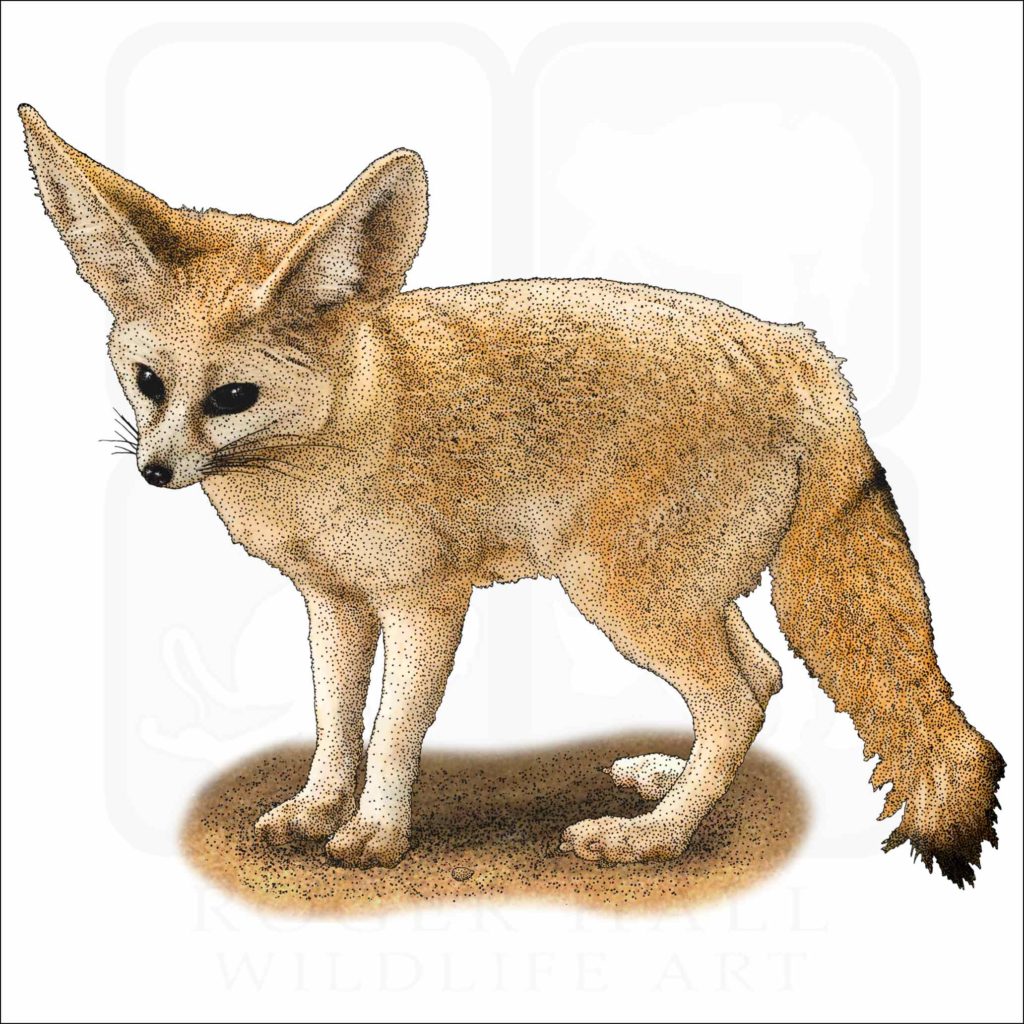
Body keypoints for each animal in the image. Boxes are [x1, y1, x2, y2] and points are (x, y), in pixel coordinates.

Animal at [19, 103, 1004, 887]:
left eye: (232, 397)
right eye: (148, 383)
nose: (154, 471)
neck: (346, 425)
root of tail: (793, 348)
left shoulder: (426, 601)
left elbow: (394, 729)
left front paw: (375, 832)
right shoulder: (334, 601)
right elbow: (336, 721)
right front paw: (316, 809)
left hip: (624, 598)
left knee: (734, 699)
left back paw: (652, 838)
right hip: (682, 595)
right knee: (760, 680)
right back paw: (666, 786)